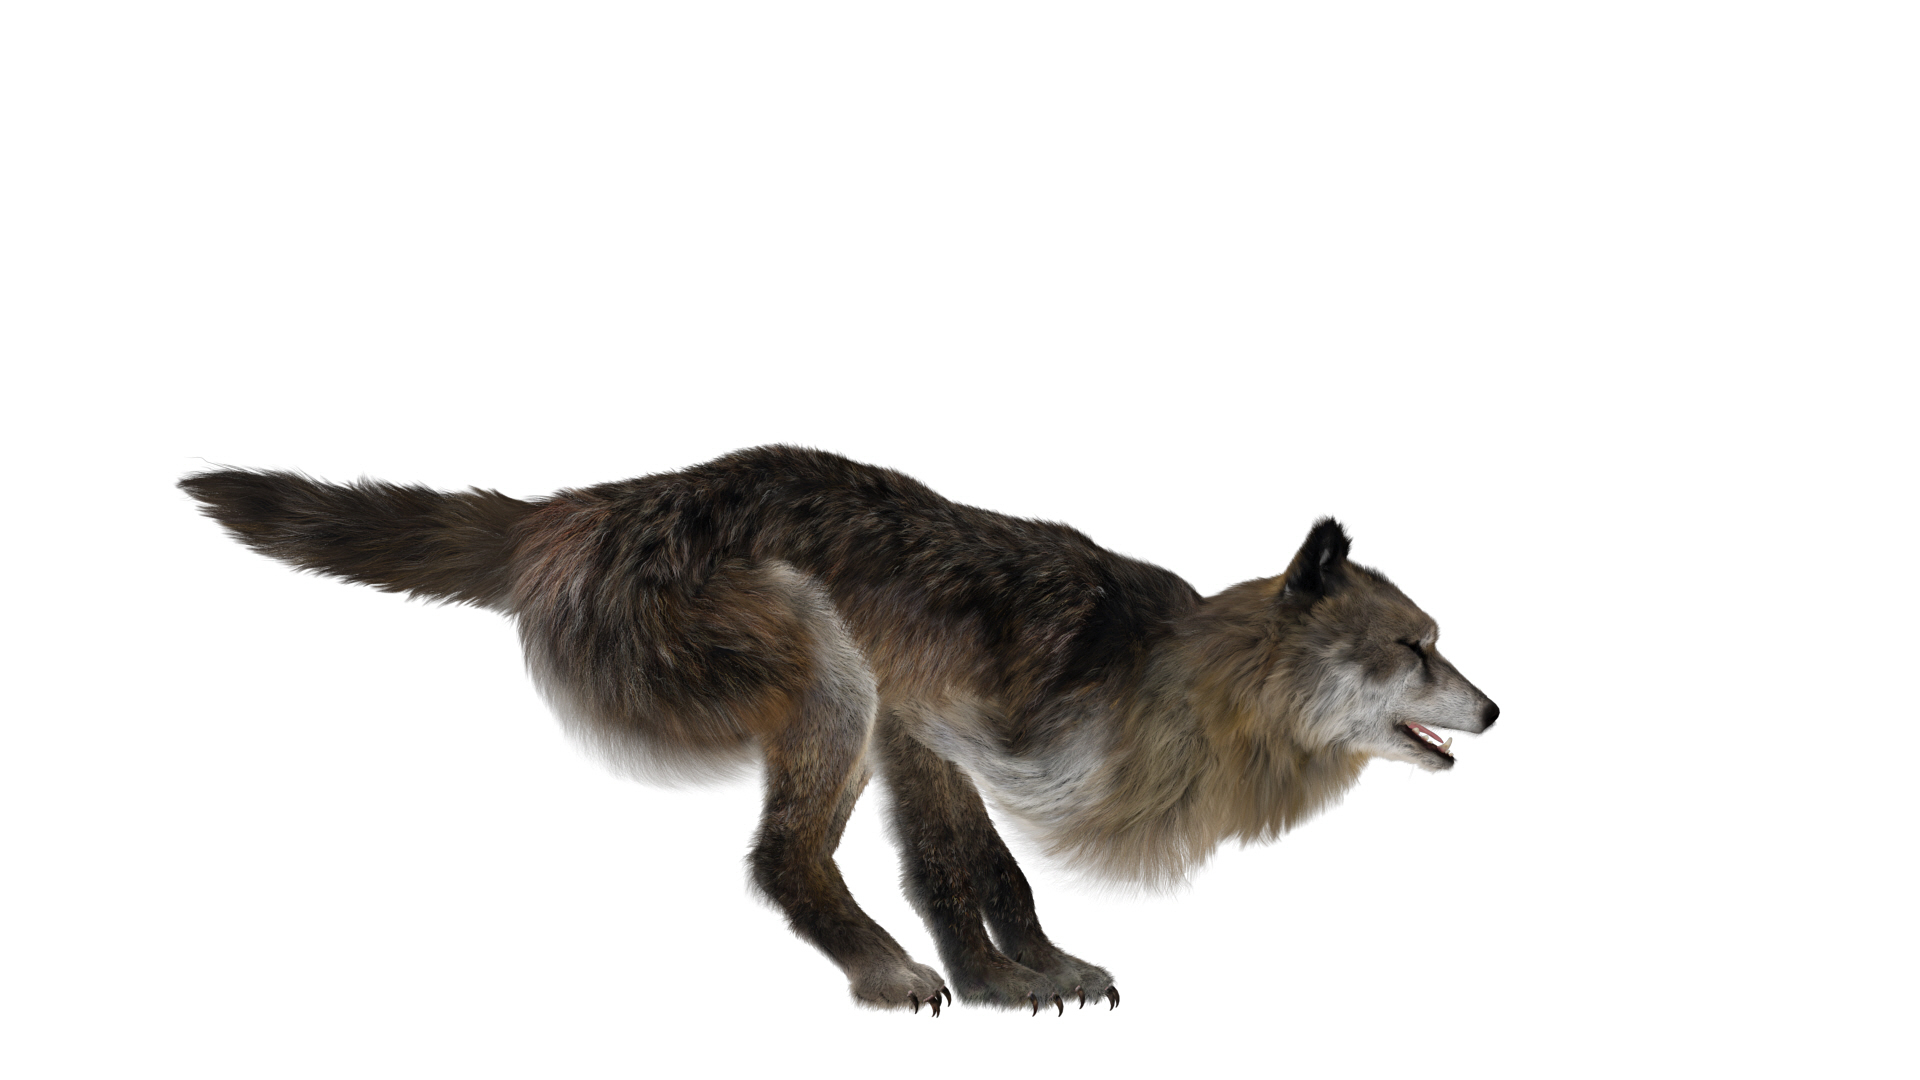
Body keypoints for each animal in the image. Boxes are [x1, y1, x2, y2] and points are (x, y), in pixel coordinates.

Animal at [179, 445, 1497, 1016]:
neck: (1176, 680)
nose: (1494, 708)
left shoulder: (932, 736)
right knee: (780, 858)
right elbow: (967, 872)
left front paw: (1018, 973)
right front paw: (982, 977)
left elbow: (979, 876)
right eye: (1414, 649)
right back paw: (874, 968)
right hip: (826, 662)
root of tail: (602, 506)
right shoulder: (933, 721)